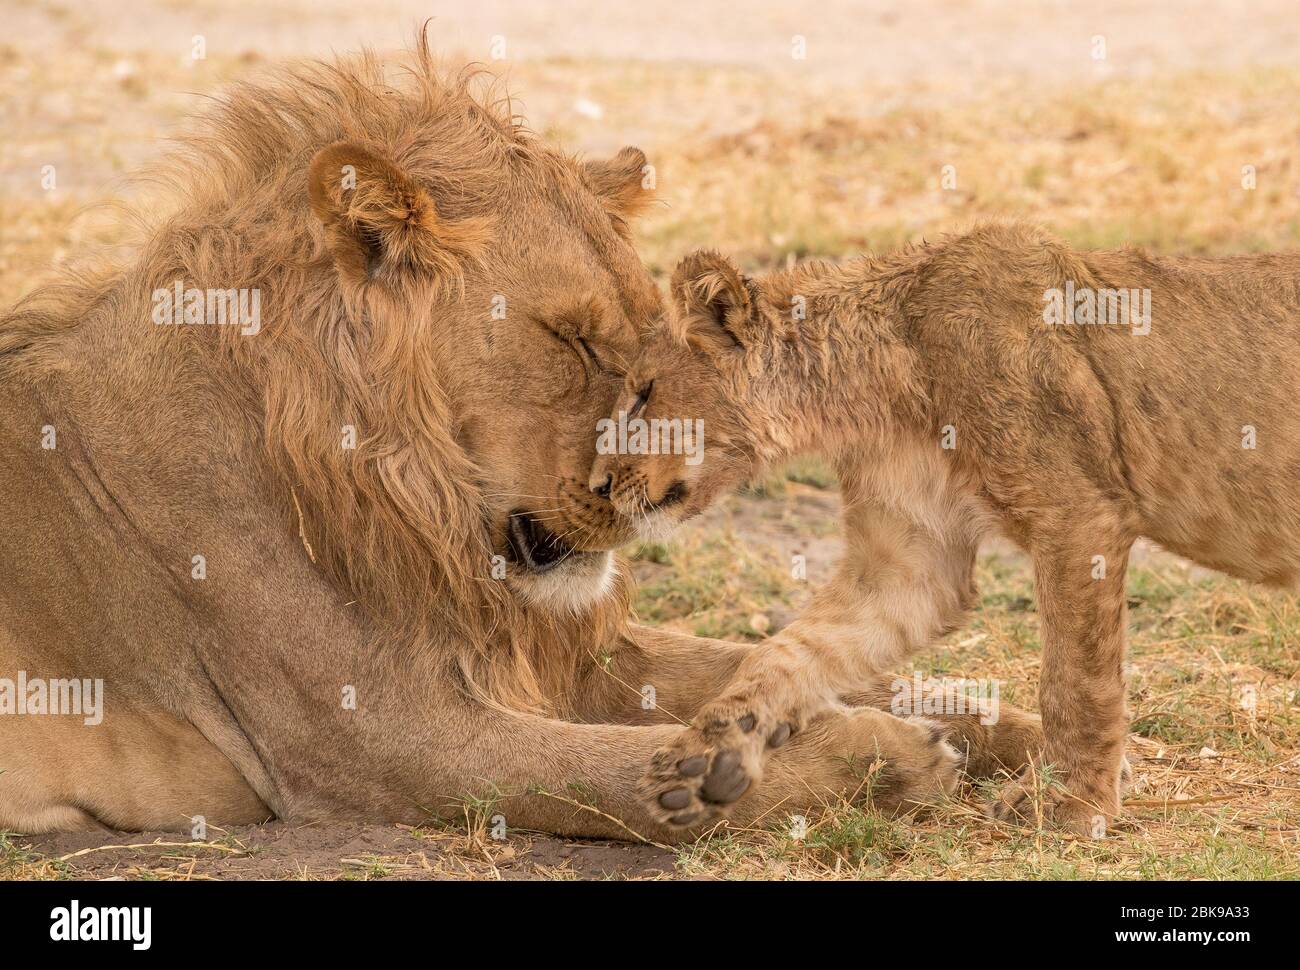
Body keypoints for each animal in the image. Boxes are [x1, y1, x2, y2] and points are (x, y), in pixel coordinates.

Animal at [0, 39, 1043, 841]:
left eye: (653, 352)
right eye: (572, 341)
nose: (649, 486)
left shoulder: (566, 652)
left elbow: (764, 668)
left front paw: (1014, 730)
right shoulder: (383, 738)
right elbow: (603, 770)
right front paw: (878, 760)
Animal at [591, 233, 1300, 836]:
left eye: (643, 393)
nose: (597, 484)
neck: (873, 388)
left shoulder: (1079, 514)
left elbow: (1074, 681)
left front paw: (1072, 805)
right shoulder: (910, 564)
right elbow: (781, 654)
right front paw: (705, 760)